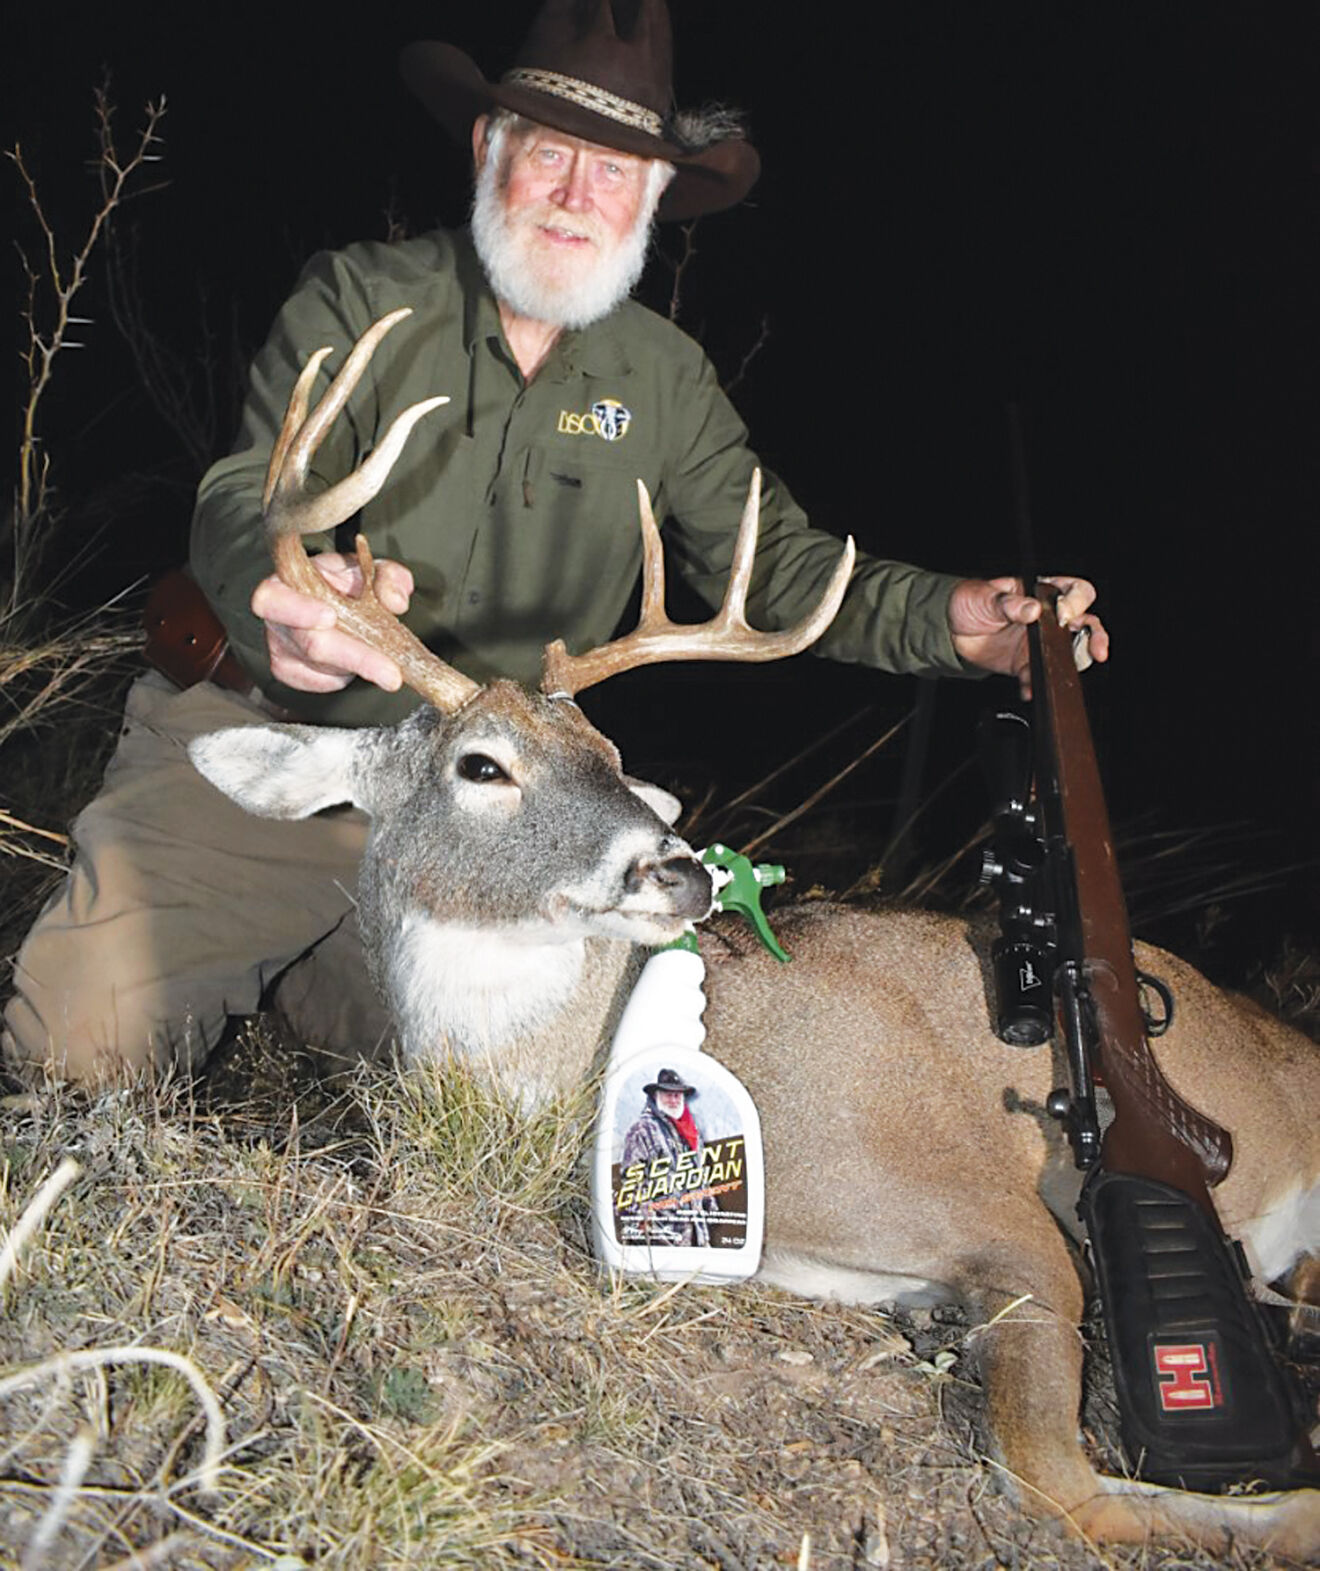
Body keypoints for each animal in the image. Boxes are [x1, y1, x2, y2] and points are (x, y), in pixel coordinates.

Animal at [191, 311, 1320, 1556]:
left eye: (611, 753)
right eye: (481, 764)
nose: (678, 866)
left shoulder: (998, 1210)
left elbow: (1058, 1479)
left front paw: (1297, 1504)